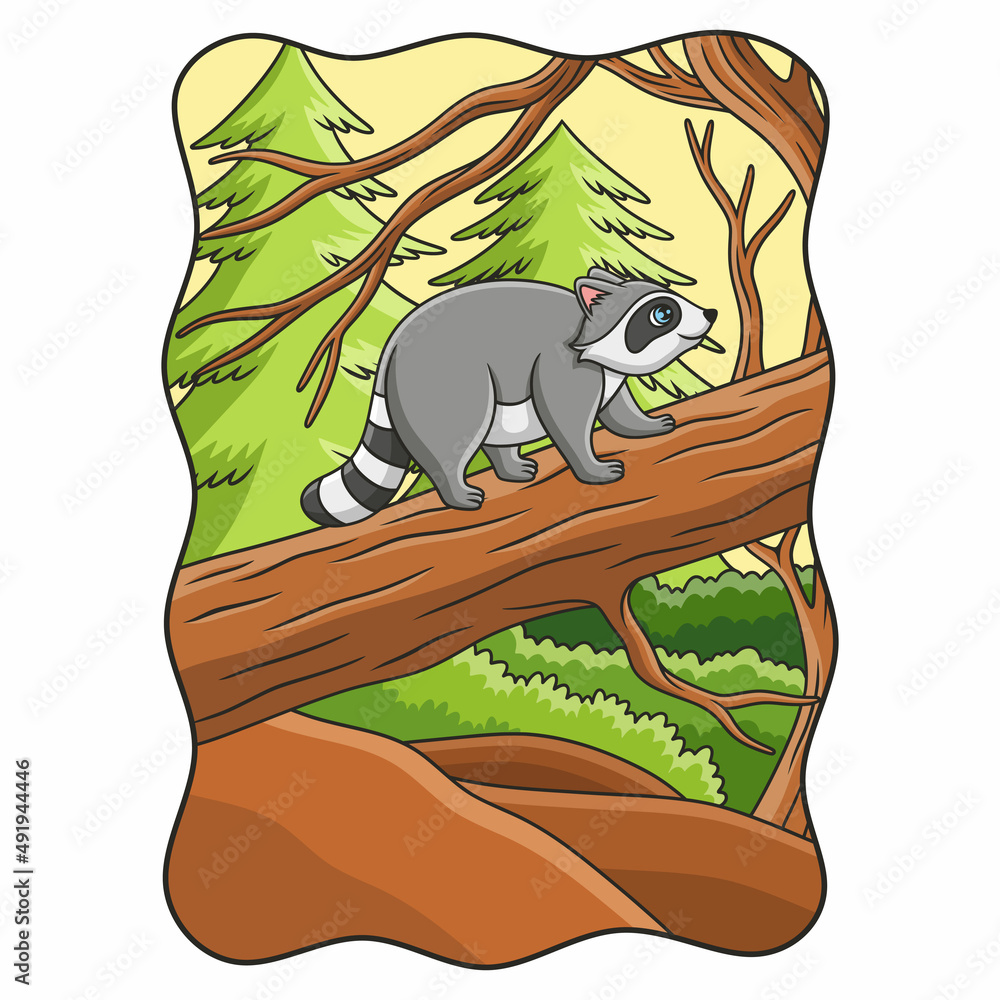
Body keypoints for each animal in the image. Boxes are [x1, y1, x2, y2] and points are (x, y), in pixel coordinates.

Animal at [301, 268, 717, 527]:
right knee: (457, 432)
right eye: (663, 313)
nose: (712, 312)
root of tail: (397, 341)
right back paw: (454, 489)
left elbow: (618, 408)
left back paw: (509, 466)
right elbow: (568, 424)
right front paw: (591, 468)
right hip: (445, 379)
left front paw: (643, 426)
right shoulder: (561, 366)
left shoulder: (608, 374)